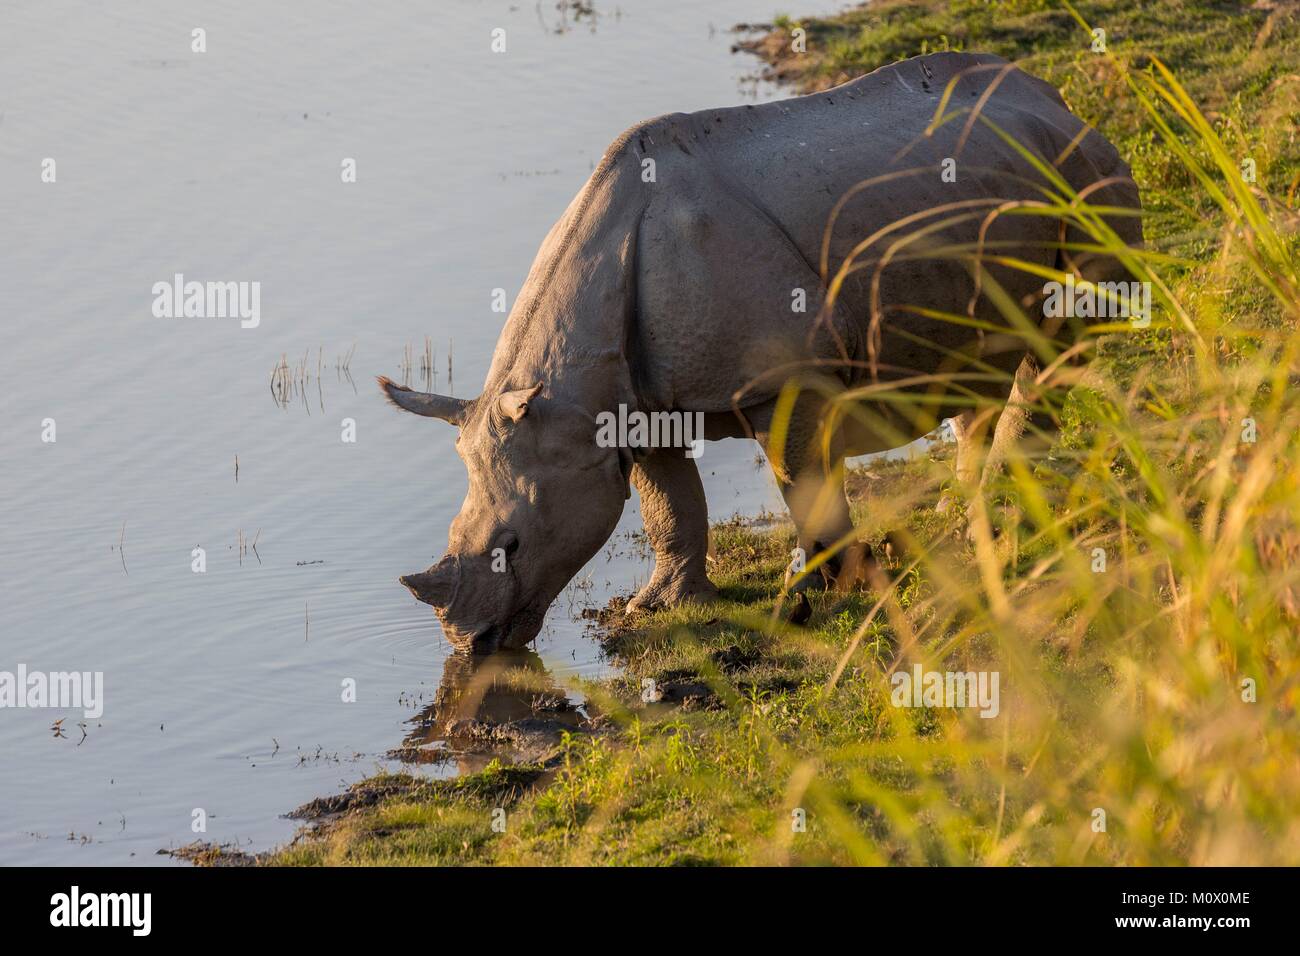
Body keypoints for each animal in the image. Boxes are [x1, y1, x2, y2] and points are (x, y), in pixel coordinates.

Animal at [380, 51, 1142, 651]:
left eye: (511, 546)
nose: (471, 640)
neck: (572, 394)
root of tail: (1049, 94)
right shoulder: (635, 402)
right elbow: (668, 504)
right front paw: (662, 607)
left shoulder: (783, 374)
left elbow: (799, 477)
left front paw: (821, 587)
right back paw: (975, 501)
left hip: (1085, 171)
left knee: (1061, 338)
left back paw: (1017, 491)